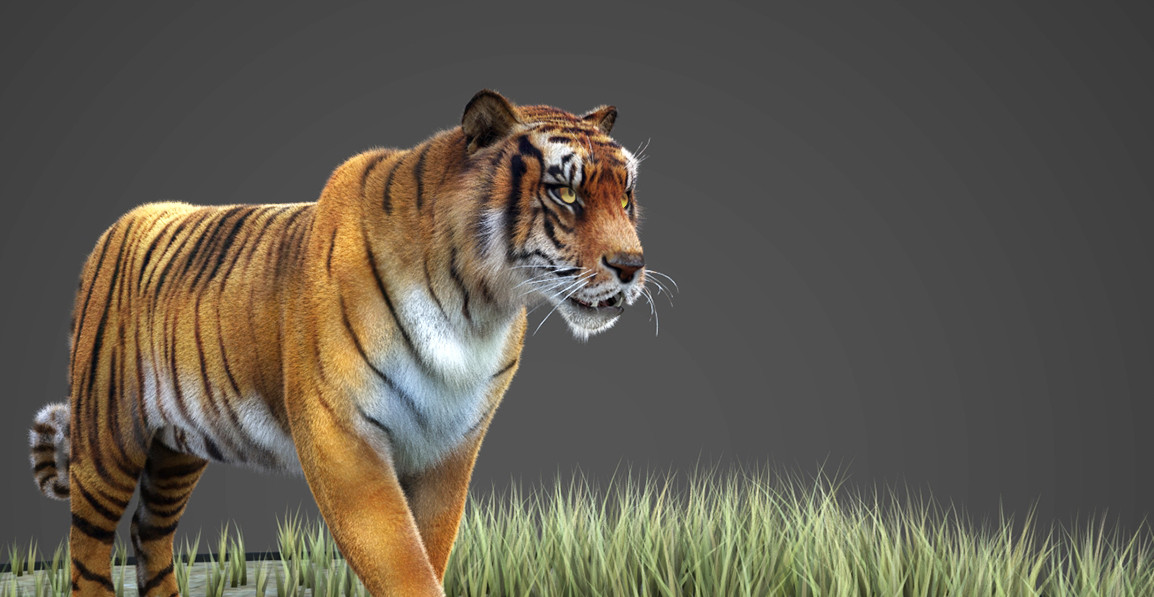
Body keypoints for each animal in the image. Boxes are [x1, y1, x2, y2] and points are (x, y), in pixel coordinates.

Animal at [27, 89, 651, 596]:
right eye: (565, 193)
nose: (631, 266)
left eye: (626, 197)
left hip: (178, 446)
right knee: (87, 546)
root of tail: (117, 226)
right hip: (108, 438)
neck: (476, 307)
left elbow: (429, 547)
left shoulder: (450, 443)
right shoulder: (341, 435)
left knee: (149, 530)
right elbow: (402, 562)